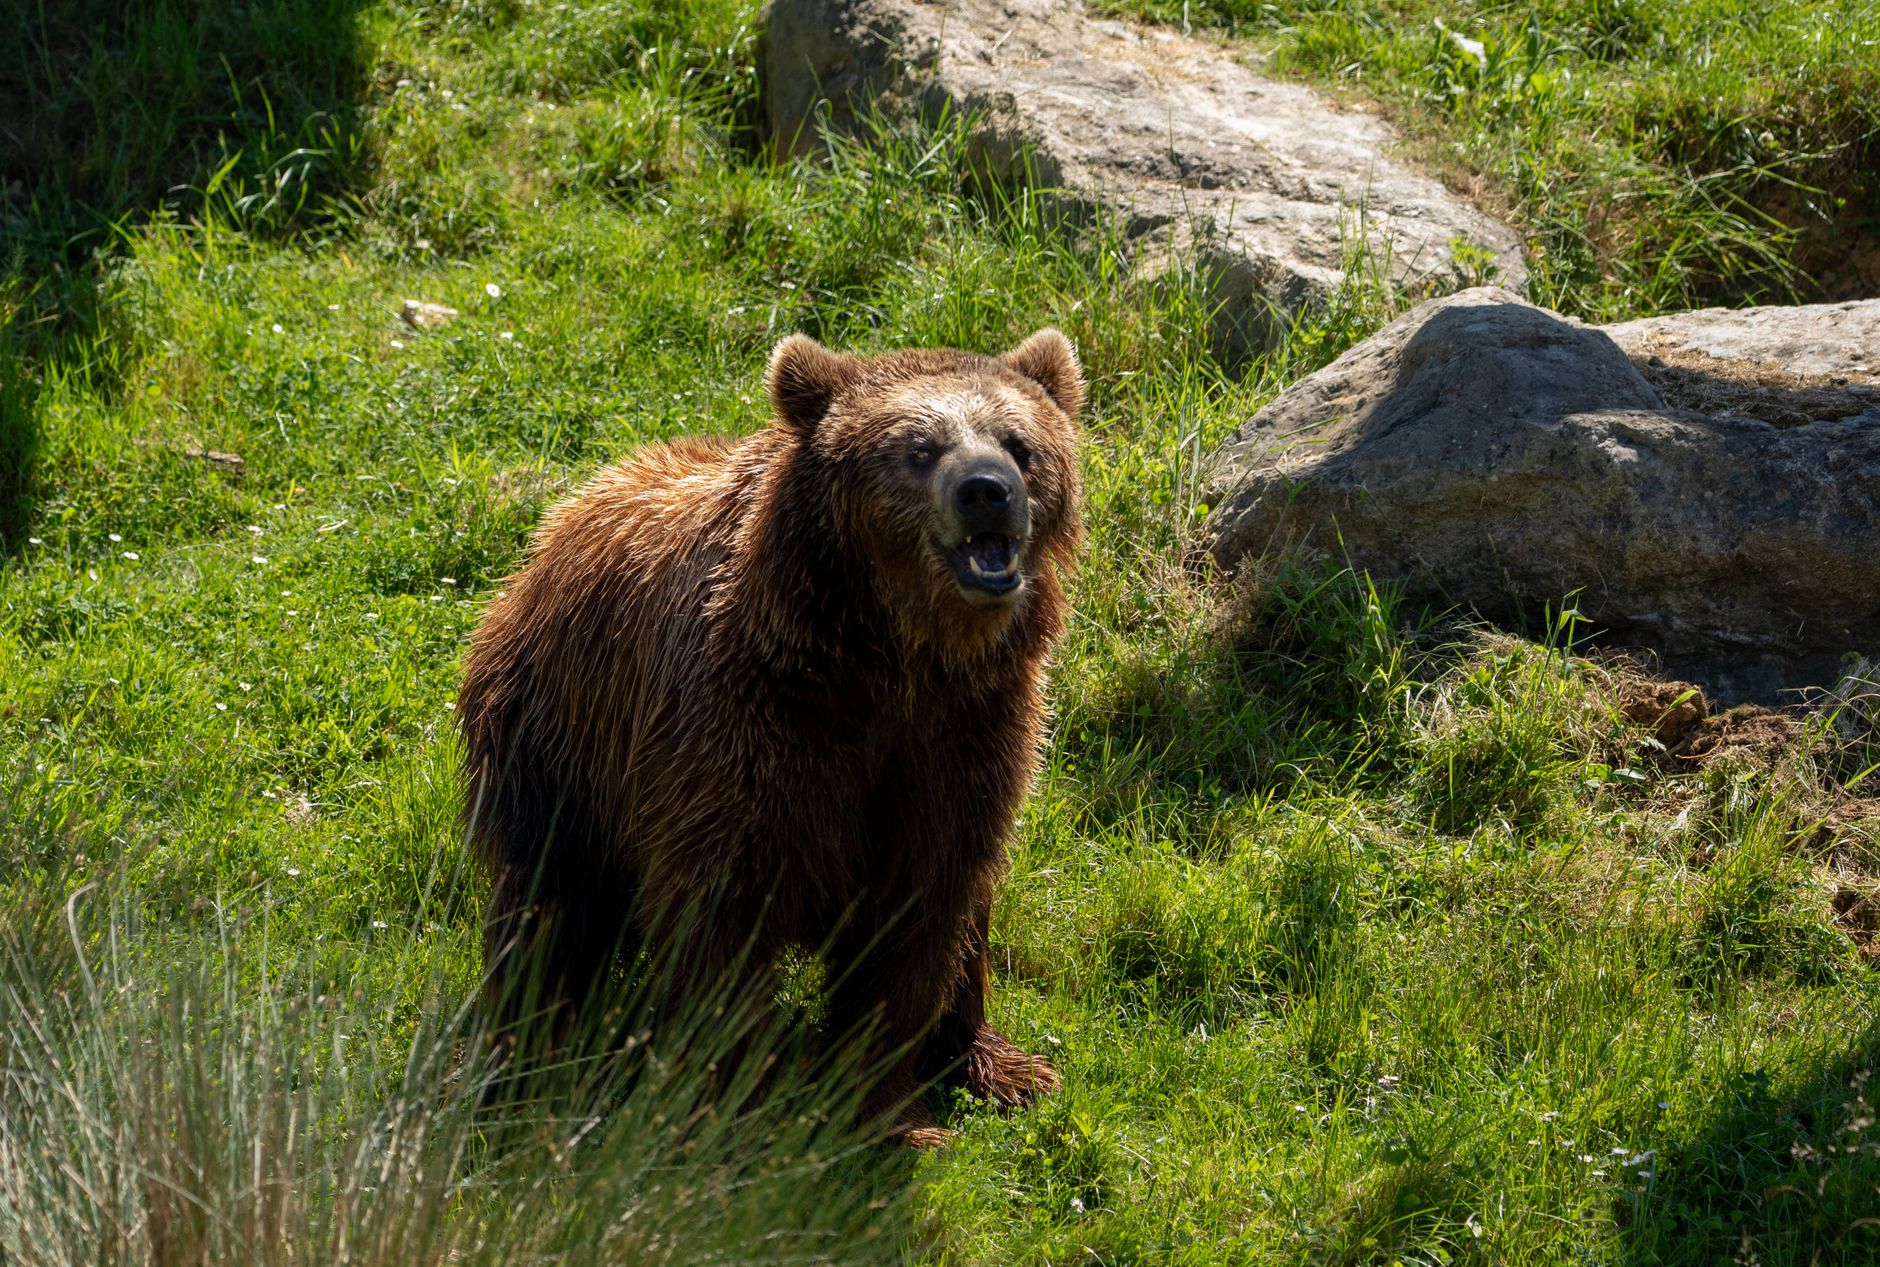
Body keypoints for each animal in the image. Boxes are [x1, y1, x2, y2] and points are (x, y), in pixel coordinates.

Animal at [456, 328, 1085, 1143]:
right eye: (919, 448)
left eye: (1019, 443)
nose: (986, 489)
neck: (898, 659)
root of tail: (554, 525)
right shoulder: (753, 735)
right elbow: (725, 918)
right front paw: (736, 1100)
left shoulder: (963, 739)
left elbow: (919, 917)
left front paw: (889, 1107)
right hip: (558, 738)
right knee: (550, 900)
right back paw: (529, 1046)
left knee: (973, 921)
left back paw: (997, 1060)